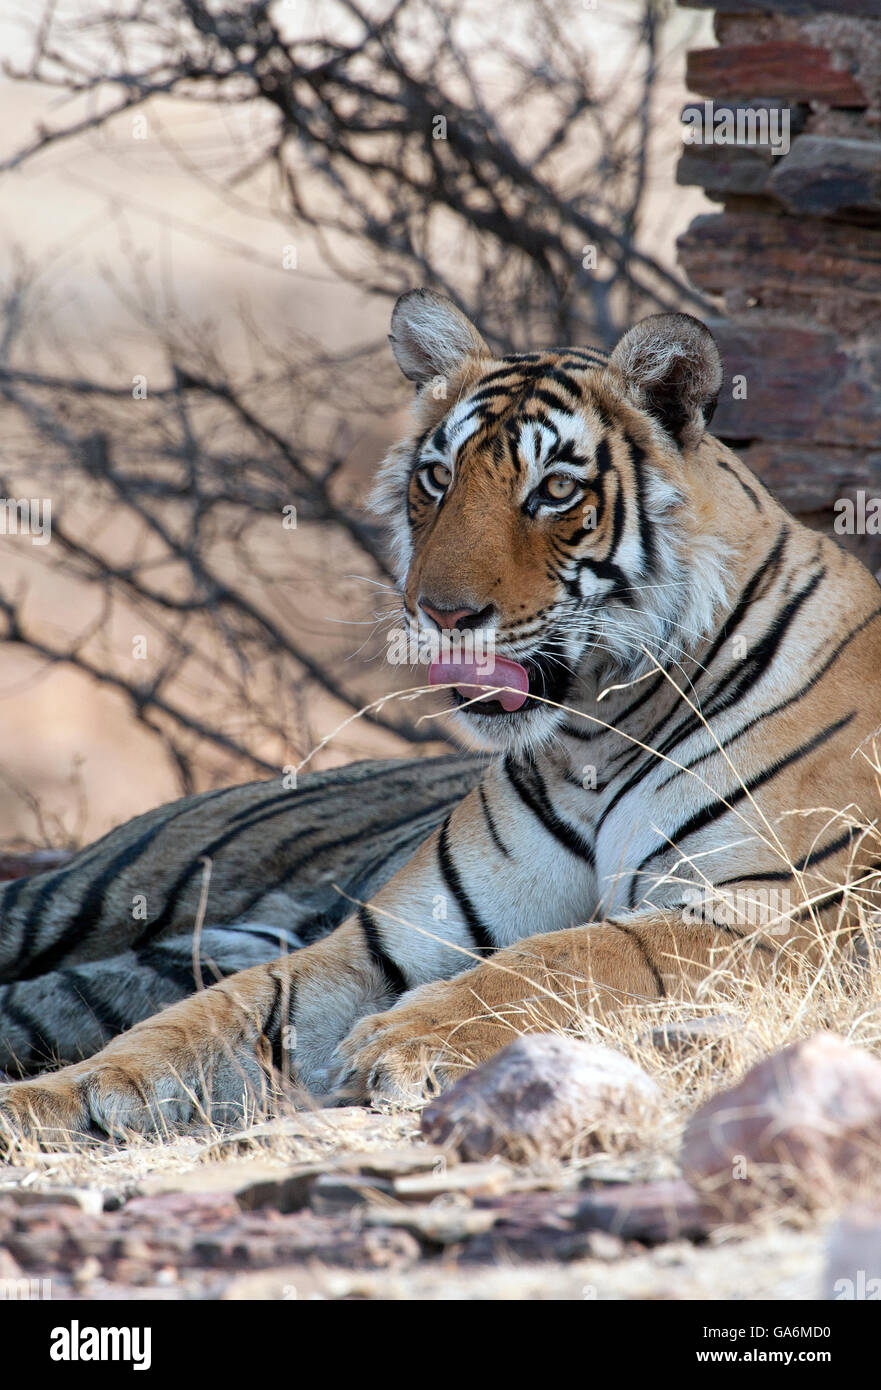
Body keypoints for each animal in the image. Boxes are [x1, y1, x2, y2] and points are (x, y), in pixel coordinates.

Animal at [2, 287, 880, 1144]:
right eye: (436, 477)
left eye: (555, 490)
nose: (443, 613)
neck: (592, 735)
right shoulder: (389, 939)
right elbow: (212, 1013)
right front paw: (63, 1094)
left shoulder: (771, 915)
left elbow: (568, 959)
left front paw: (405, 1040)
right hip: (95, 894)